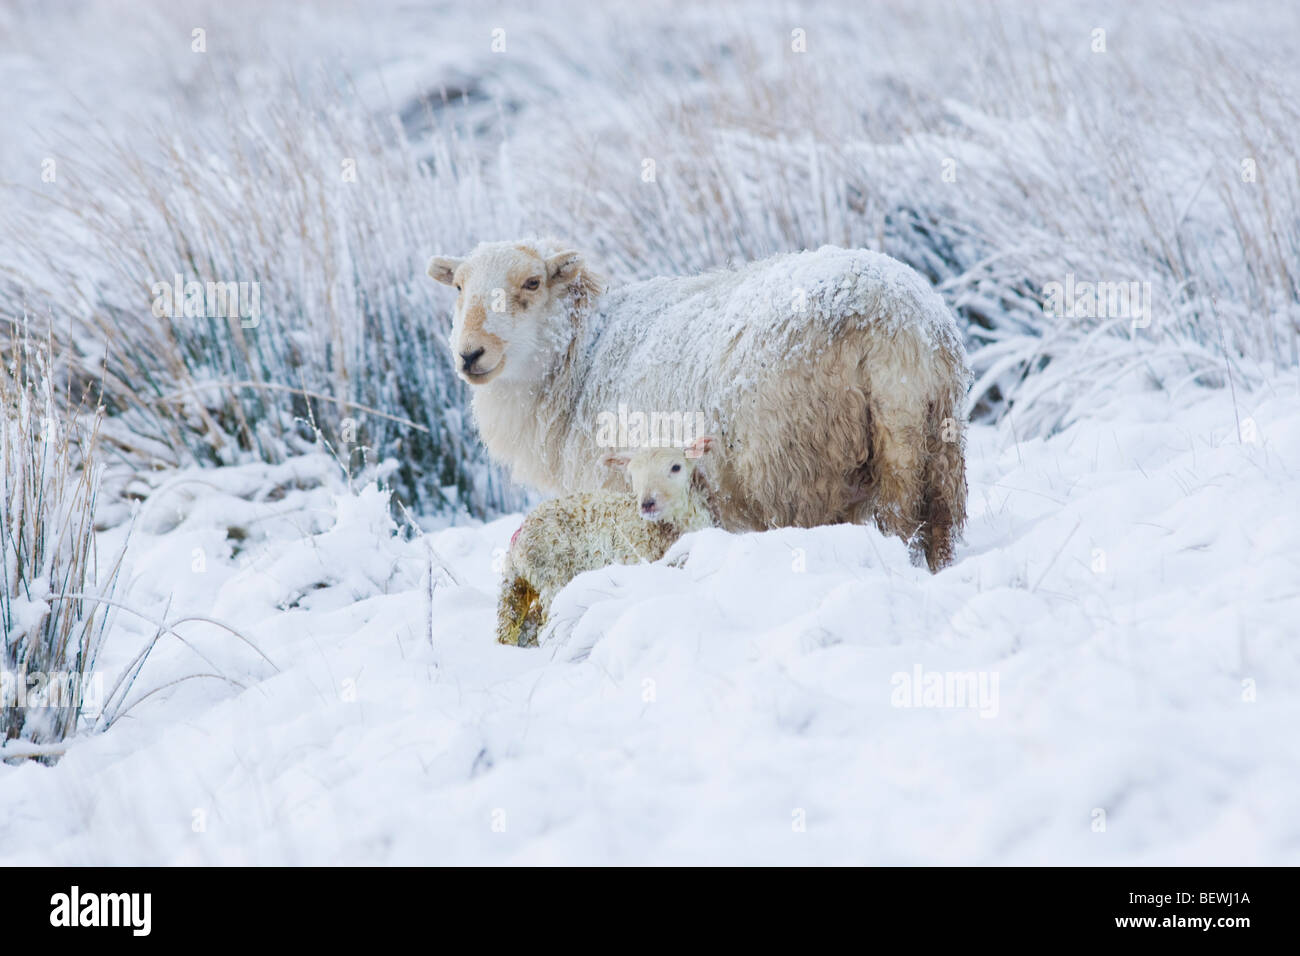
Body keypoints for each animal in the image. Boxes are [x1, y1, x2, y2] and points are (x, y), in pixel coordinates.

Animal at [427, 238, 970, 571]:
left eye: (532, 282)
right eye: (458, 287)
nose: (469, 354)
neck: (582, 354)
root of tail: (886, 314)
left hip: (800, 467)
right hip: (933, 446)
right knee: (927, 529)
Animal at [497, 437, 717, 647]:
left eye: (676, 467)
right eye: (633, 475)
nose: (647, 504)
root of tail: (519, 534)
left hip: (520, 586)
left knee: (513, 626)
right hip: (553, 575)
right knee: (547, 628)